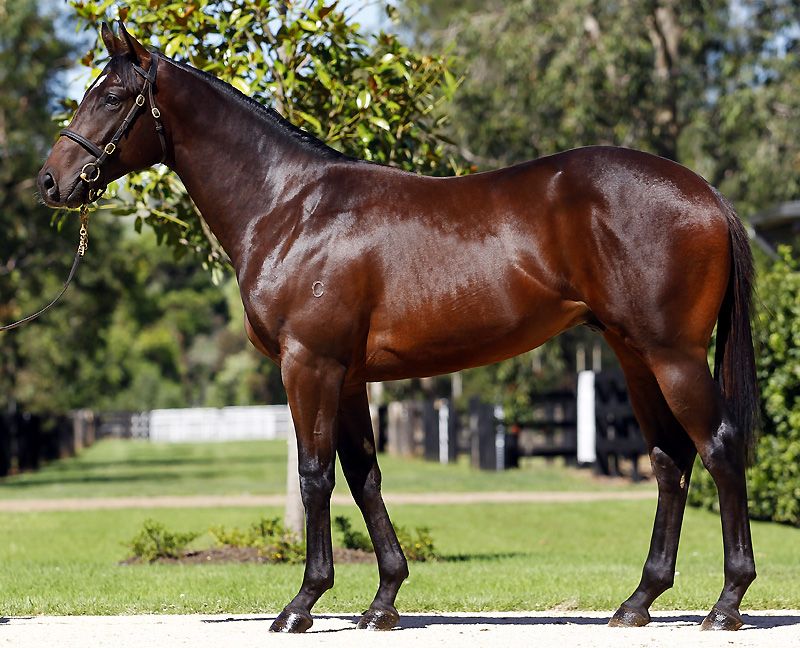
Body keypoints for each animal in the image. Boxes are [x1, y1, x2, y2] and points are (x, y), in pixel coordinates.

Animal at [38, 22, 759, 633]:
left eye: (111, 96)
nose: (51, 182)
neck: (290, 207)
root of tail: (705, 193)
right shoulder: (349, 377)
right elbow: (364, 476)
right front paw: (382, 600)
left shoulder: (309, 365)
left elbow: (316, 476)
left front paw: (301, 605)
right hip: (634, 354)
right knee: (669, 460)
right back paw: (638, 602)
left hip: (673, 354)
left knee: (719, 449)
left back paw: (726, 604)